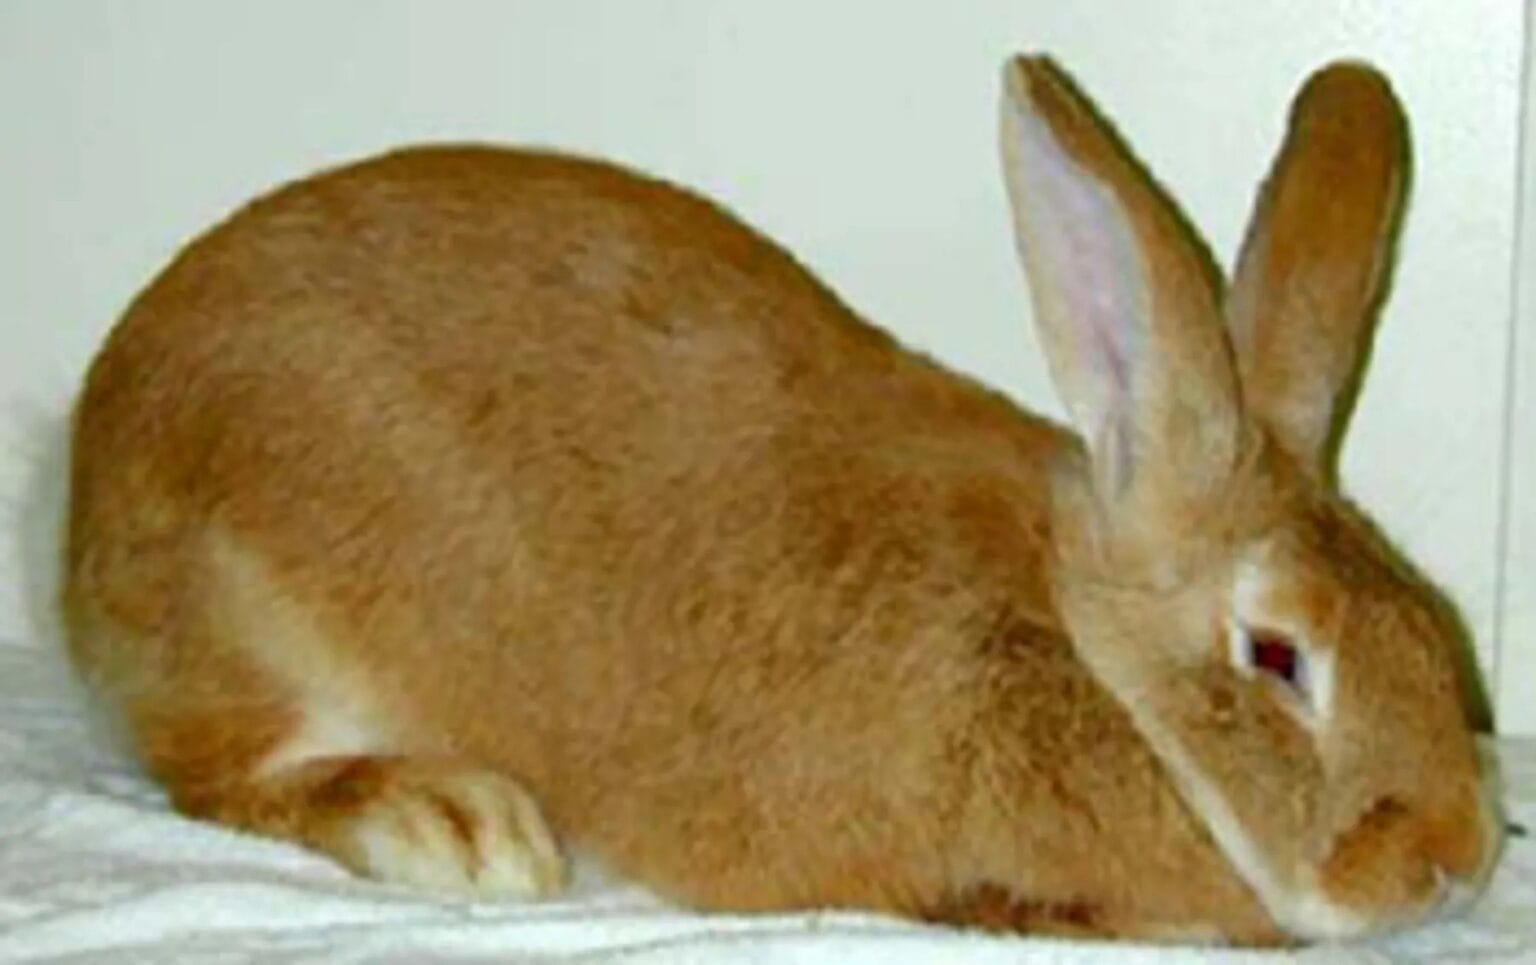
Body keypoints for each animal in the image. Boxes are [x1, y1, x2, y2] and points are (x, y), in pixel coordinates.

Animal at [60, 53, 1503, 946]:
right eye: (1278, 656)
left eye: (1435, 629)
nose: (1457, 857)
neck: (1087, 661)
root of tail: (89, 458)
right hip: (253, 618)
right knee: (219, 773)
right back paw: (454, 823)